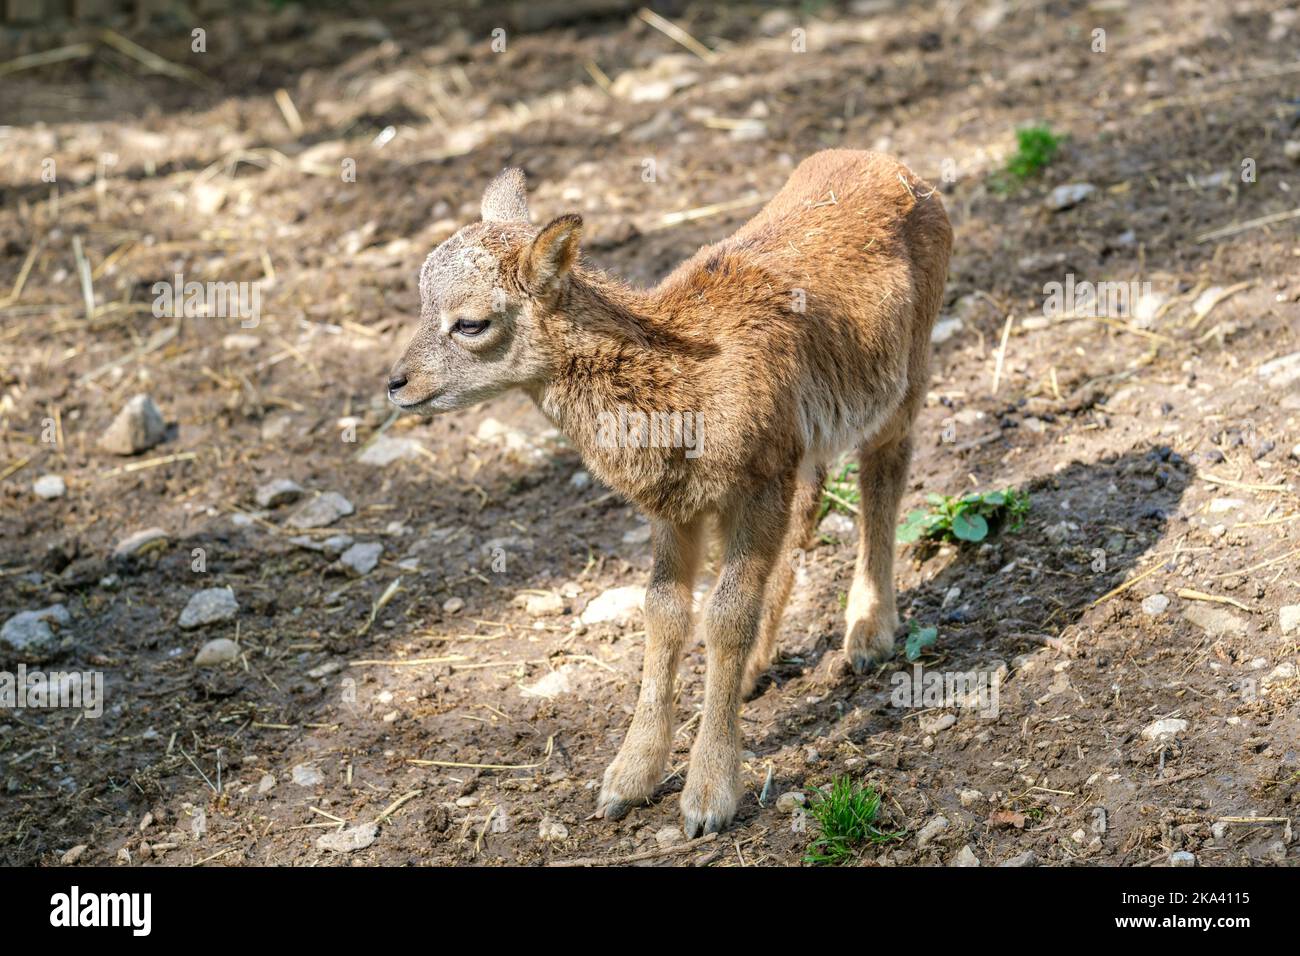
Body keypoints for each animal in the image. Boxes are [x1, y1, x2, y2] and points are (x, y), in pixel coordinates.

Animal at [387, 150, 952, 836]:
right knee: (811, 506)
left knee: (882, 476)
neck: (682, 377)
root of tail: (900, 170)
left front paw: (709, 797)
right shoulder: (674, 507)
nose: (397, 385)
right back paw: (760, 668)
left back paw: (869, 633)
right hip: (803, 444)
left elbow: (726, 615)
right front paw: (627, 781)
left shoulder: (756, 483)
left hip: (905, 380)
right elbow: (664, 614)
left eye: (471, 323)